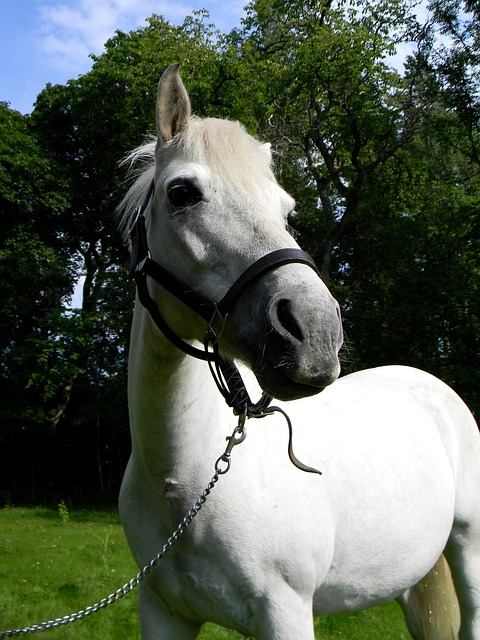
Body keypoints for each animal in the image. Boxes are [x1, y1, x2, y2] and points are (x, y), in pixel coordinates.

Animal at [117, 64, 480, 639]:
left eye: (286, 209)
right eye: (182, 193)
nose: (315, 332)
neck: (183, 483)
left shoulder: (285, 610)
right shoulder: (161, 611)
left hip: (468, 546)